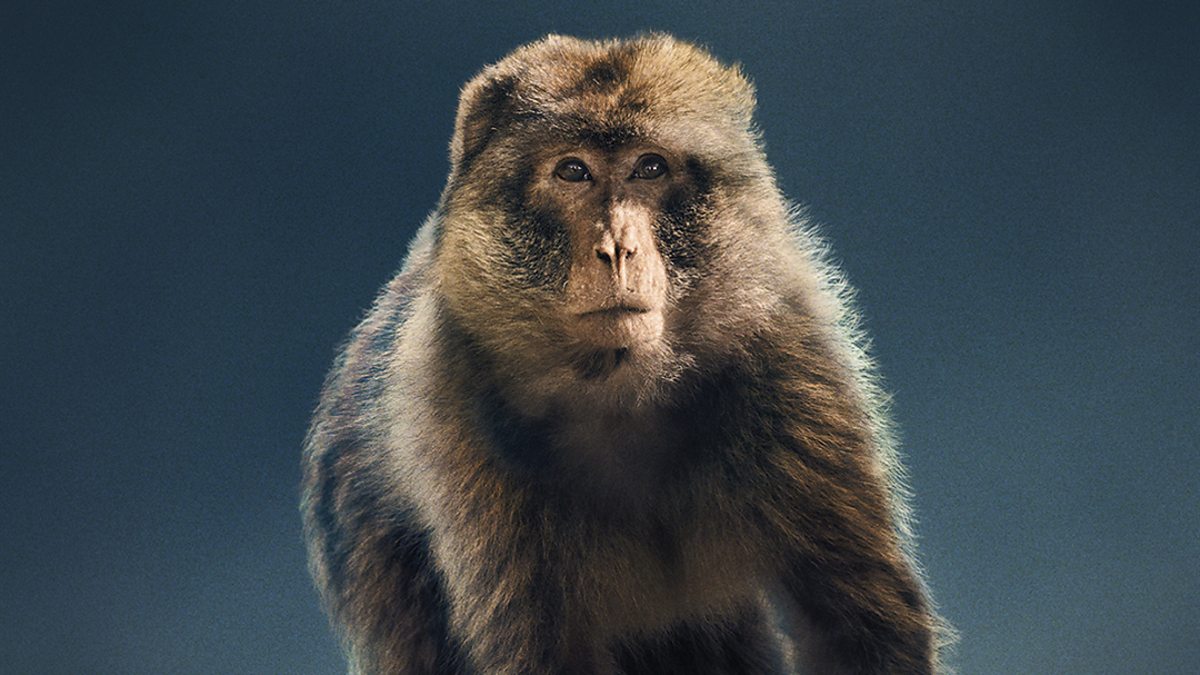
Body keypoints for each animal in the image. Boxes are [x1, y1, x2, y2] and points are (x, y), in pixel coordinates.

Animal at [302, 34, 950, 674]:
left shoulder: (792, 371)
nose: (617, 248)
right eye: (573, 171)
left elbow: (859, 624)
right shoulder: (455, 409)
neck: (622, 387)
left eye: (650, 167)